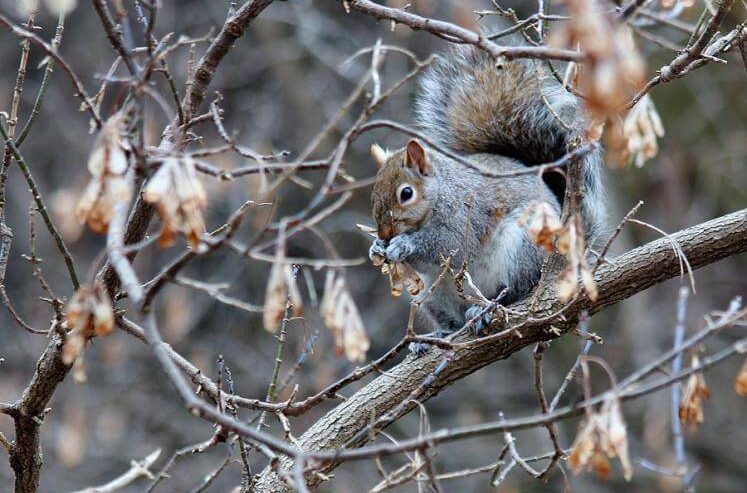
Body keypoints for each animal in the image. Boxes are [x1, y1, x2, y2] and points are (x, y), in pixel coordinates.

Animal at [368, 46, 605, 350]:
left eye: (406, 193)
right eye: (374, 192)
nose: (384, 234)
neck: (442, 192)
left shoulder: (465, 214)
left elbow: (449, 245)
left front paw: (405, 245)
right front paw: (376, 248)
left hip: (522, 248)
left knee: (517, 292)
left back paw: (486, 310)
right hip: (431, 294)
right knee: (453, 322)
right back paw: (434, 339)